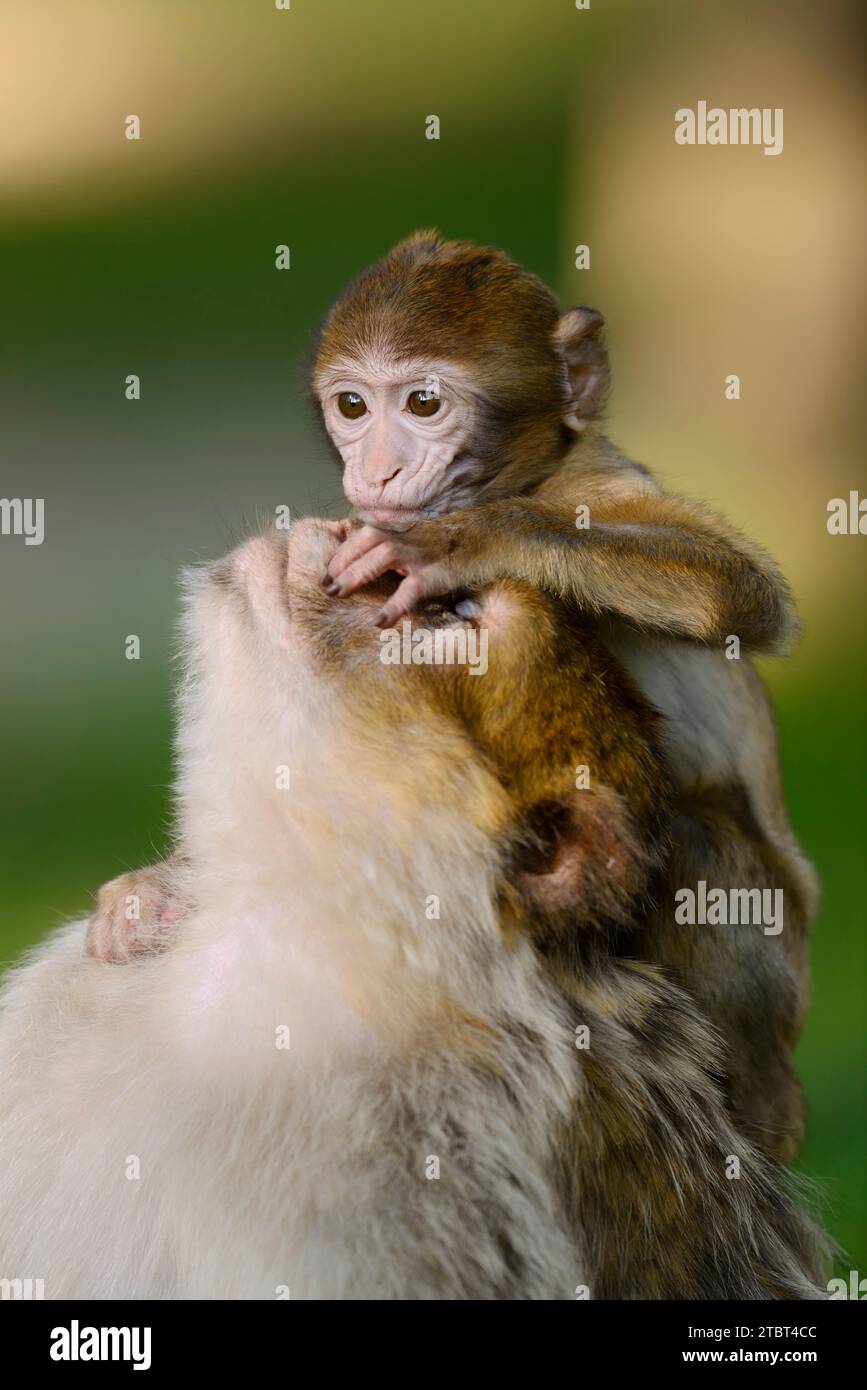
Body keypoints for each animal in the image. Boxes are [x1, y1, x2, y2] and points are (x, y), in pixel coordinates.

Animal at [86, 232, 817, 1167]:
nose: (376, 469)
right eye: (352, 405)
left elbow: (739, 591)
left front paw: (464, 541)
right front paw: (154, 894)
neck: (528, 479)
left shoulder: (592, 483)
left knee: (699, 847)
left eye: (425, 402)